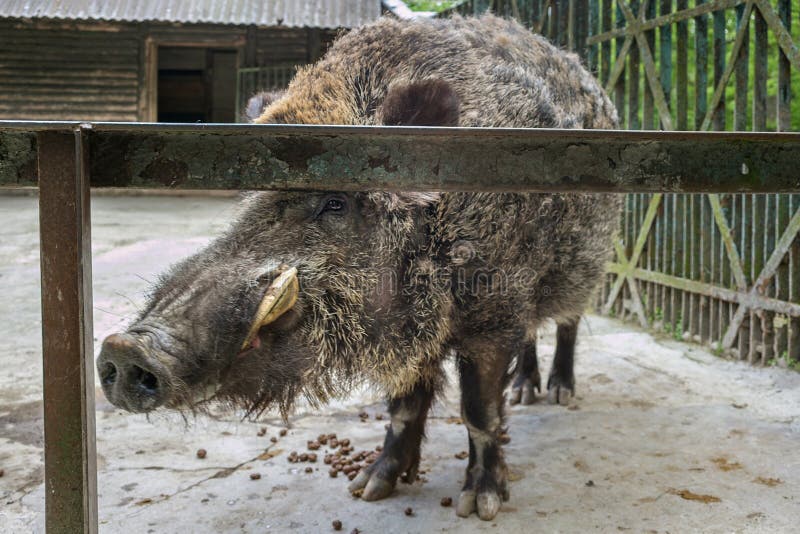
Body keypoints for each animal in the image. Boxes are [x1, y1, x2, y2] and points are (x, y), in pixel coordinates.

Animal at [97, 14, 621, 521]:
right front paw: (368, 489)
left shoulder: (493, 313)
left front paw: (481, 506)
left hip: (587, 262)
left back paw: (558, 394)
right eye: (254, 199)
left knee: (568, 321)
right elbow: (403, 407)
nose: (124, 347)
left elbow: (478, 411)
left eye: (335, 202)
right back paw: (523, 393)